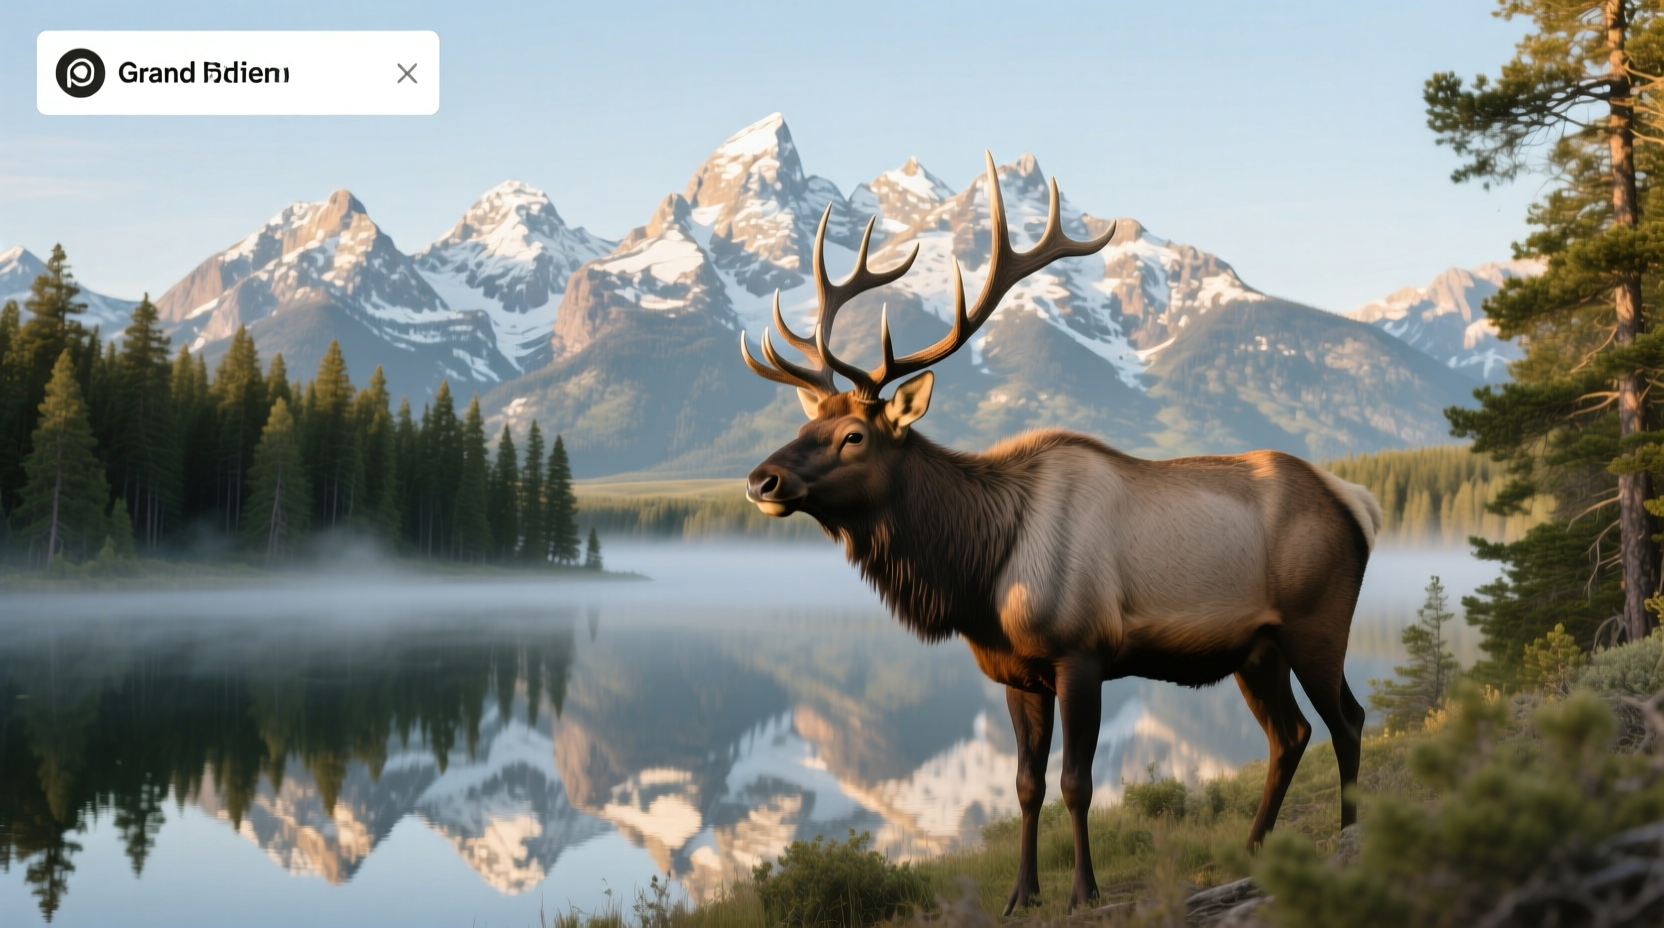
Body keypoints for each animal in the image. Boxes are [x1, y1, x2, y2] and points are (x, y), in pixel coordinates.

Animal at [740, 154, 1380, 914]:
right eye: (806, 423)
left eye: (853, 436)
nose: (762, 480)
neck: (980, 575)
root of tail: (1358, 503)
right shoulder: (1016, 672)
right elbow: (1026, 785)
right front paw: (1022, 893)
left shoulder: (1083, 652)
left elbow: (1078, 783)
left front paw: (1083, 890)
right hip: (1257, 648)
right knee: (1291, 734)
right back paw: (1254, 849)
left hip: (1318, 622)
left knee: (1347, 719)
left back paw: (1348, 836)